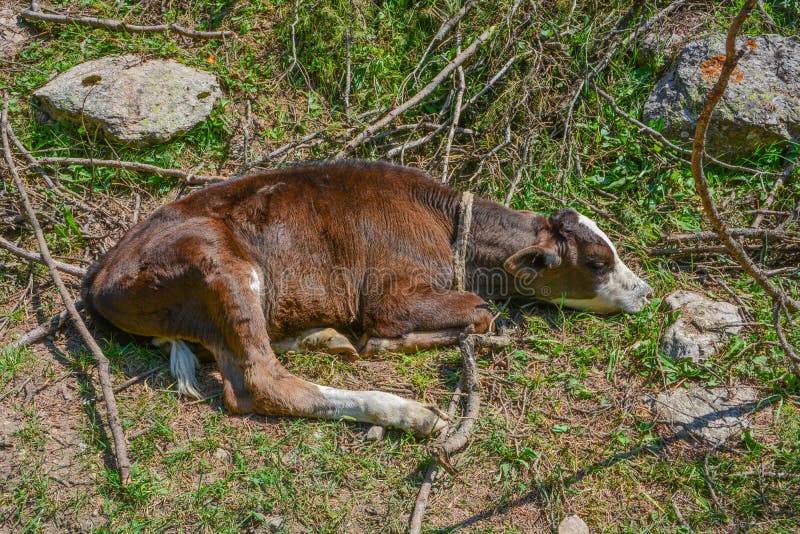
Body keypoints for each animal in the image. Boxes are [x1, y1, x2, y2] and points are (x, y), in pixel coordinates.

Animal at [82, 160, 652, 436]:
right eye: (597, 262)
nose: (645, 292)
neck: (449, 226)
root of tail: (101, 274)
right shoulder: (391, 296)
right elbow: (480, 313)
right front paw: (386, 345)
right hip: (222, 266)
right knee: (261, 383)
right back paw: (409, 413)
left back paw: (326, 337)